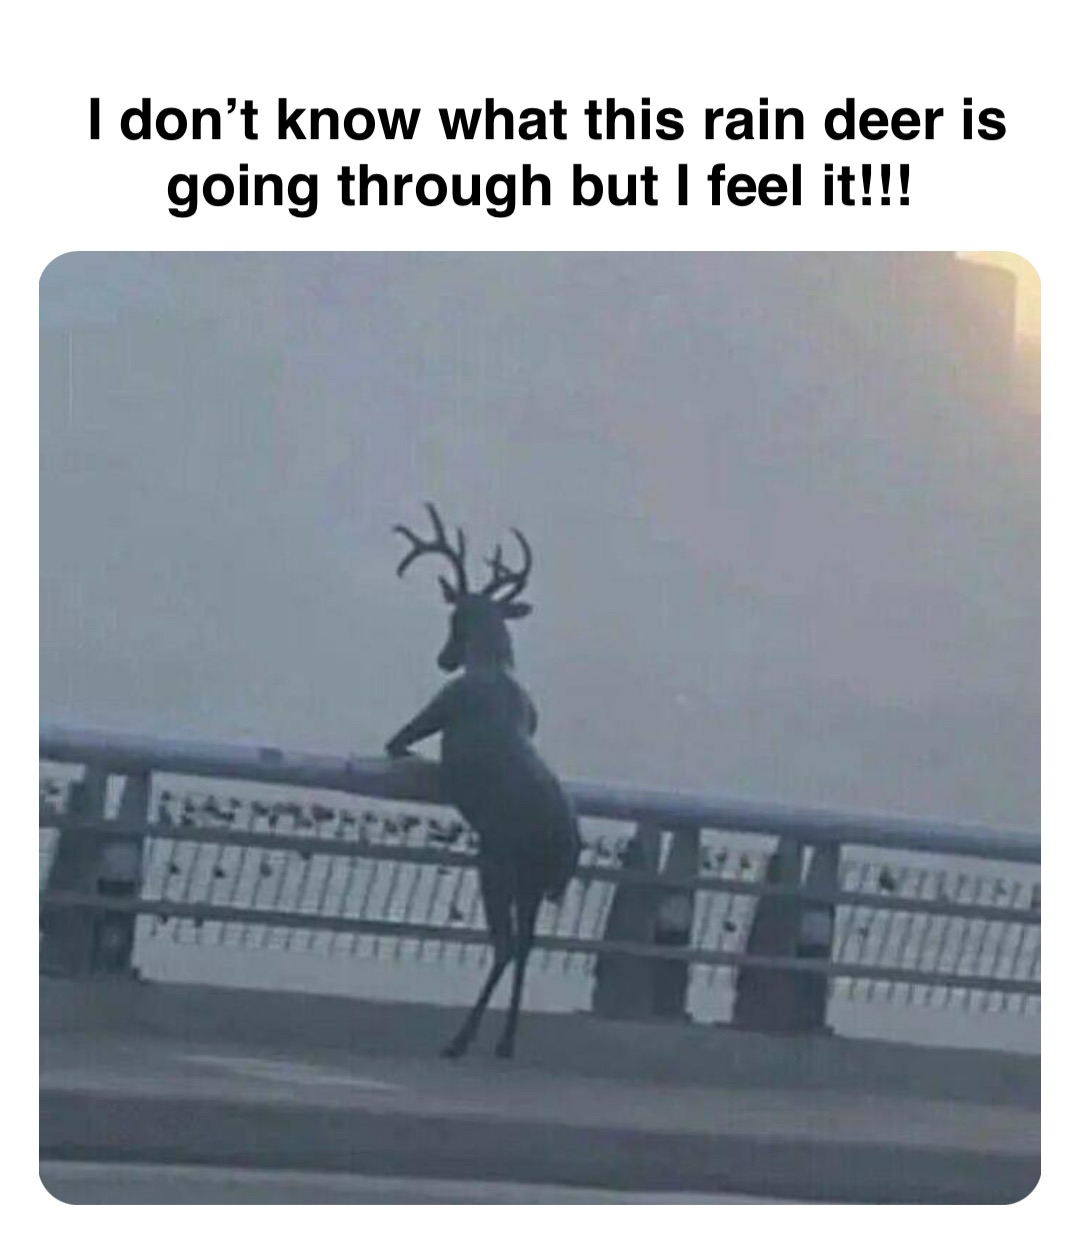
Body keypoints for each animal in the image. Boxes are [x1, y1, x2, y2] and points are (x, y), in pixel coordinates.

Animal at [386, 503, 581, 1059]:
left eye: (455, 618)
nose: (444, 658)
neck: (492, 665)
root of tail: (563, 846)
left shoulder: (436, 710)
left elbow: (398, 742)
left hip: (501, 863)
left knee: (505, 943)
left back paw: (461, 1039)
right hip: (530, 880)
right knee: (528, 943)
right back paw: (505, 1041)